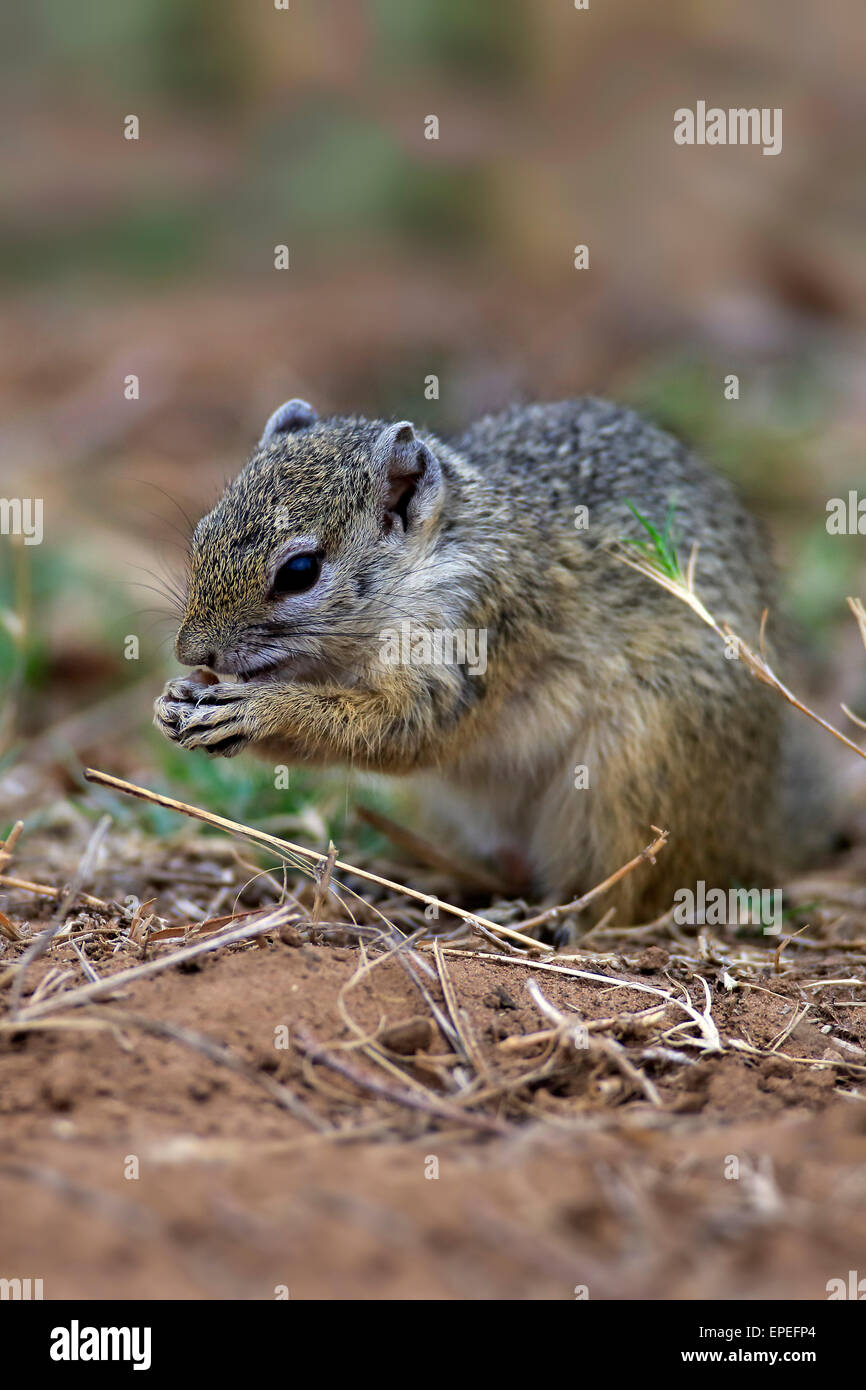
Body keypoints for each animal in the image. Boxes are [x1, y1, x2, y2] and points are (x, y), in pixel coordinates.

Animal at [155, 396, 817, 925]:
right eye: (202, 533)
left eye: (300, 570)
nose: (191, 651)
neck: (429, 561)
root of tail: (762, 826)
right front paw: (175, 701)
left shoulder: (478, 630)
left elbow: (404, 731)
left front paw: (259, 711)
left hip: (637, 772)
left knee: (634, 889)